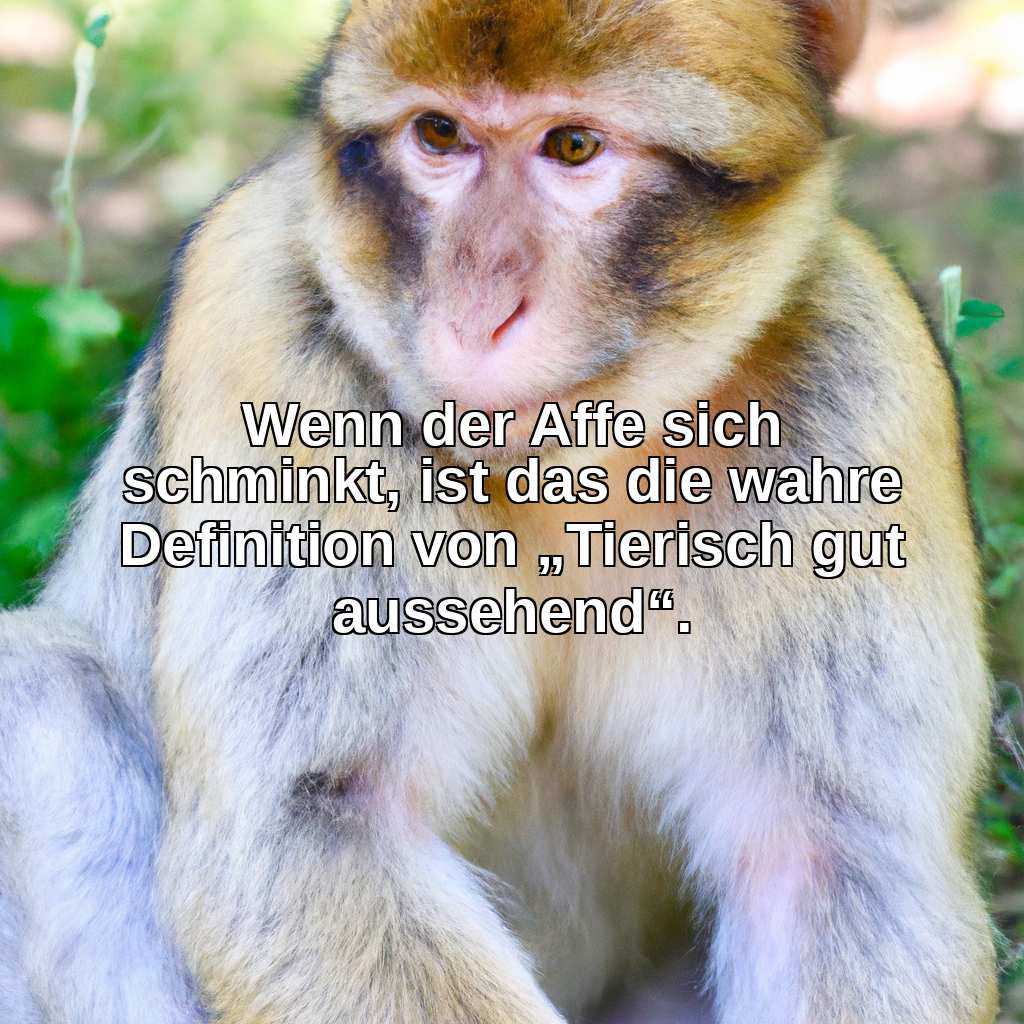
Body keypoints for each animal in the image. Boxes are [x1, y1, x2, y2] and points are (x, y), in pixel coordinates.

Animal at [0, 0, 1000, 1021]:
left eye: (572, 146)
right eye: (439, 134)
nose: (478, 307)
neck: (564, 465)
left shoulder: (860, 386)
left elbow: (834, 858)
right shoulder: (259, 319)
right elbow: (314, 823)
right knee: (43, 687)